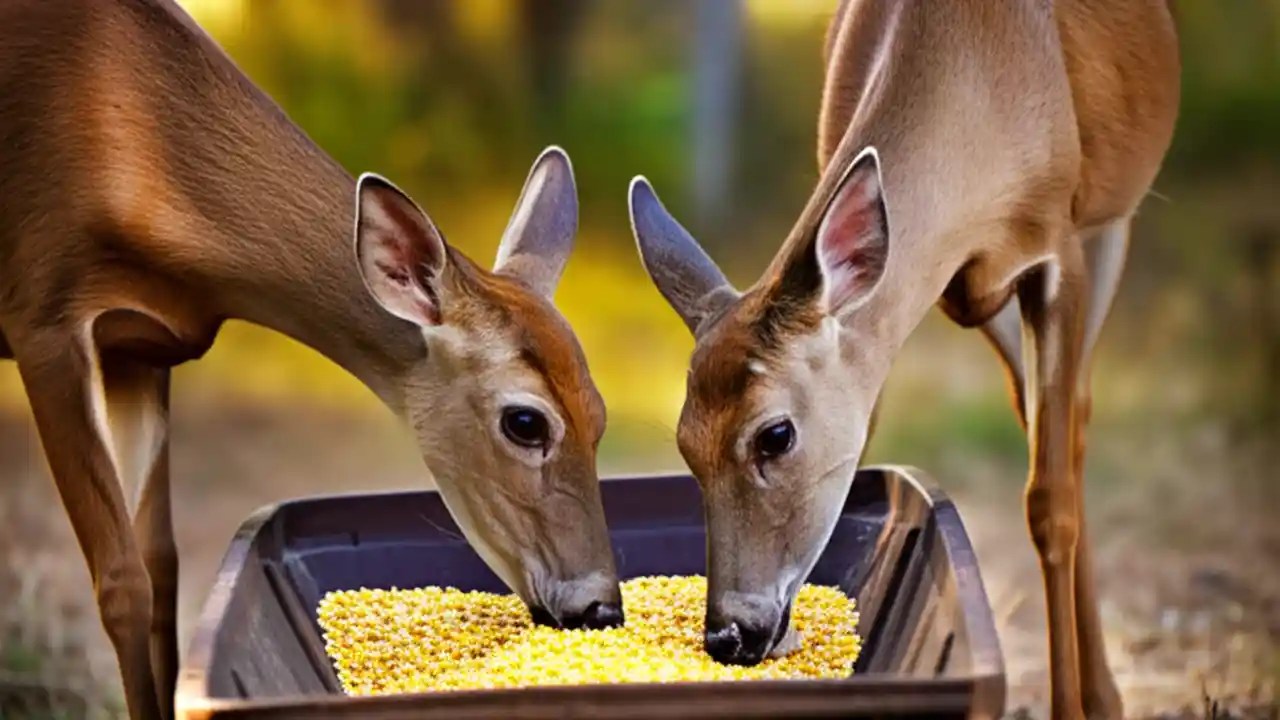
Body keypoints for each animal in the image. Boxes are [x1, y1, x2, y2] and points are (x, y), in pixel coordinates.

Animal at [0, 1, 624, 719]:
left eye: (600, 415)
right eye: (525, 422)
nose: (601, 608)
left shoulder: (139, 349)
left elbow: (160, 564)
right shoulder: (43, 317)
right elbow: (121, 582)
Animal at [628, 1, 1179, 718]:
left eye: (775, 435)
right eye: (684, 444)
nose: (730, 634)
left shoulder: (1060, 250)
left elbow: (1049, 502)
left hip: (1112, 224)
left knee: (1074, 427)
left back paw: (1106, 696)